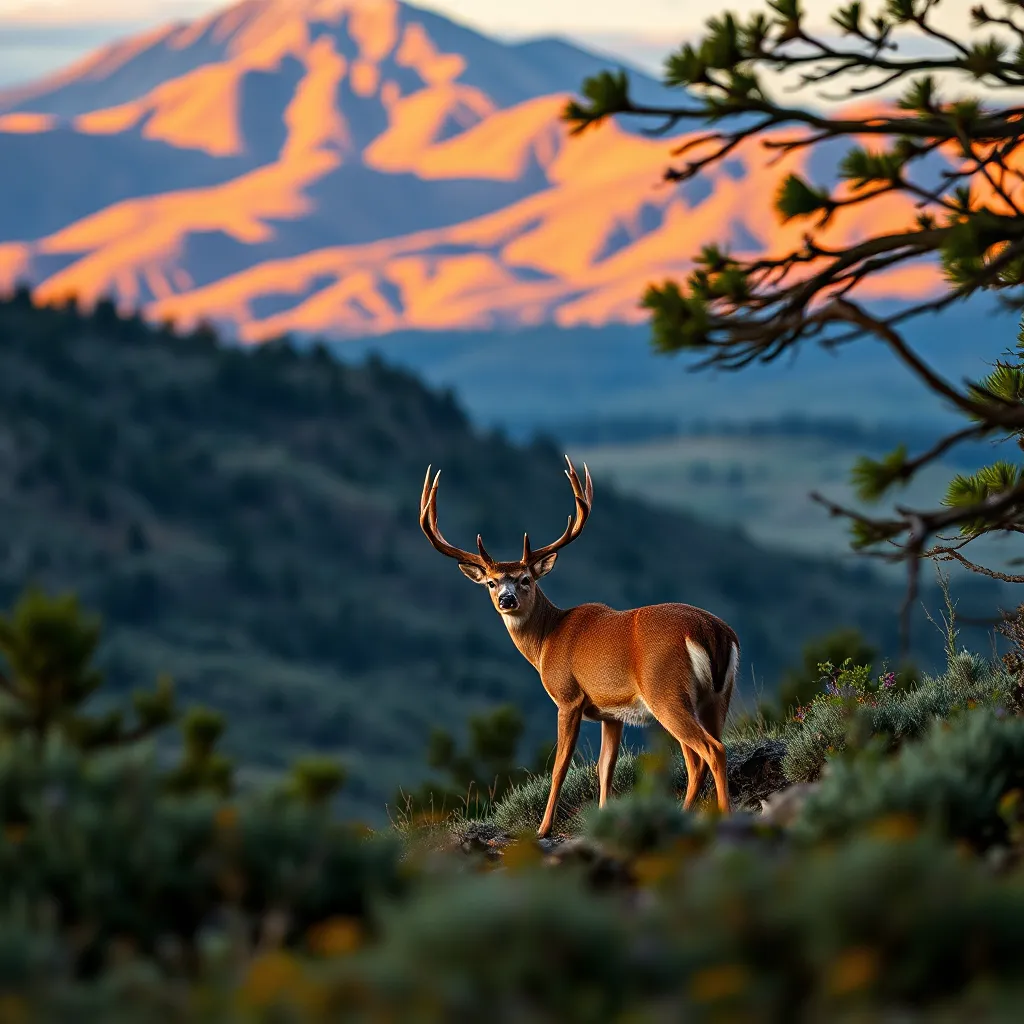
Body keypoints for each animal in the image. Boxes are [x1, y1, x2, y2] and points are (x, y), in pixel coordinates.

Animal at [419, 455, 740, 838]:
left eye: (525, 579)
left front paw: (543, 828)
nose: (507, 600)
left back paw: (719, 817)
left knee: (709, 751)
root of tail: (713, 631)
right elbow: (605, 768)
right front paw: (602, 818)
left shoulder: (568, 697)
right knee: (703, 754)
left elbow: (559, 768)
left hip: (666, 691)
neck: (547, 641)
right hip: (716, 696)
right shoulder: (611, 712)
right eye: (492, 583)